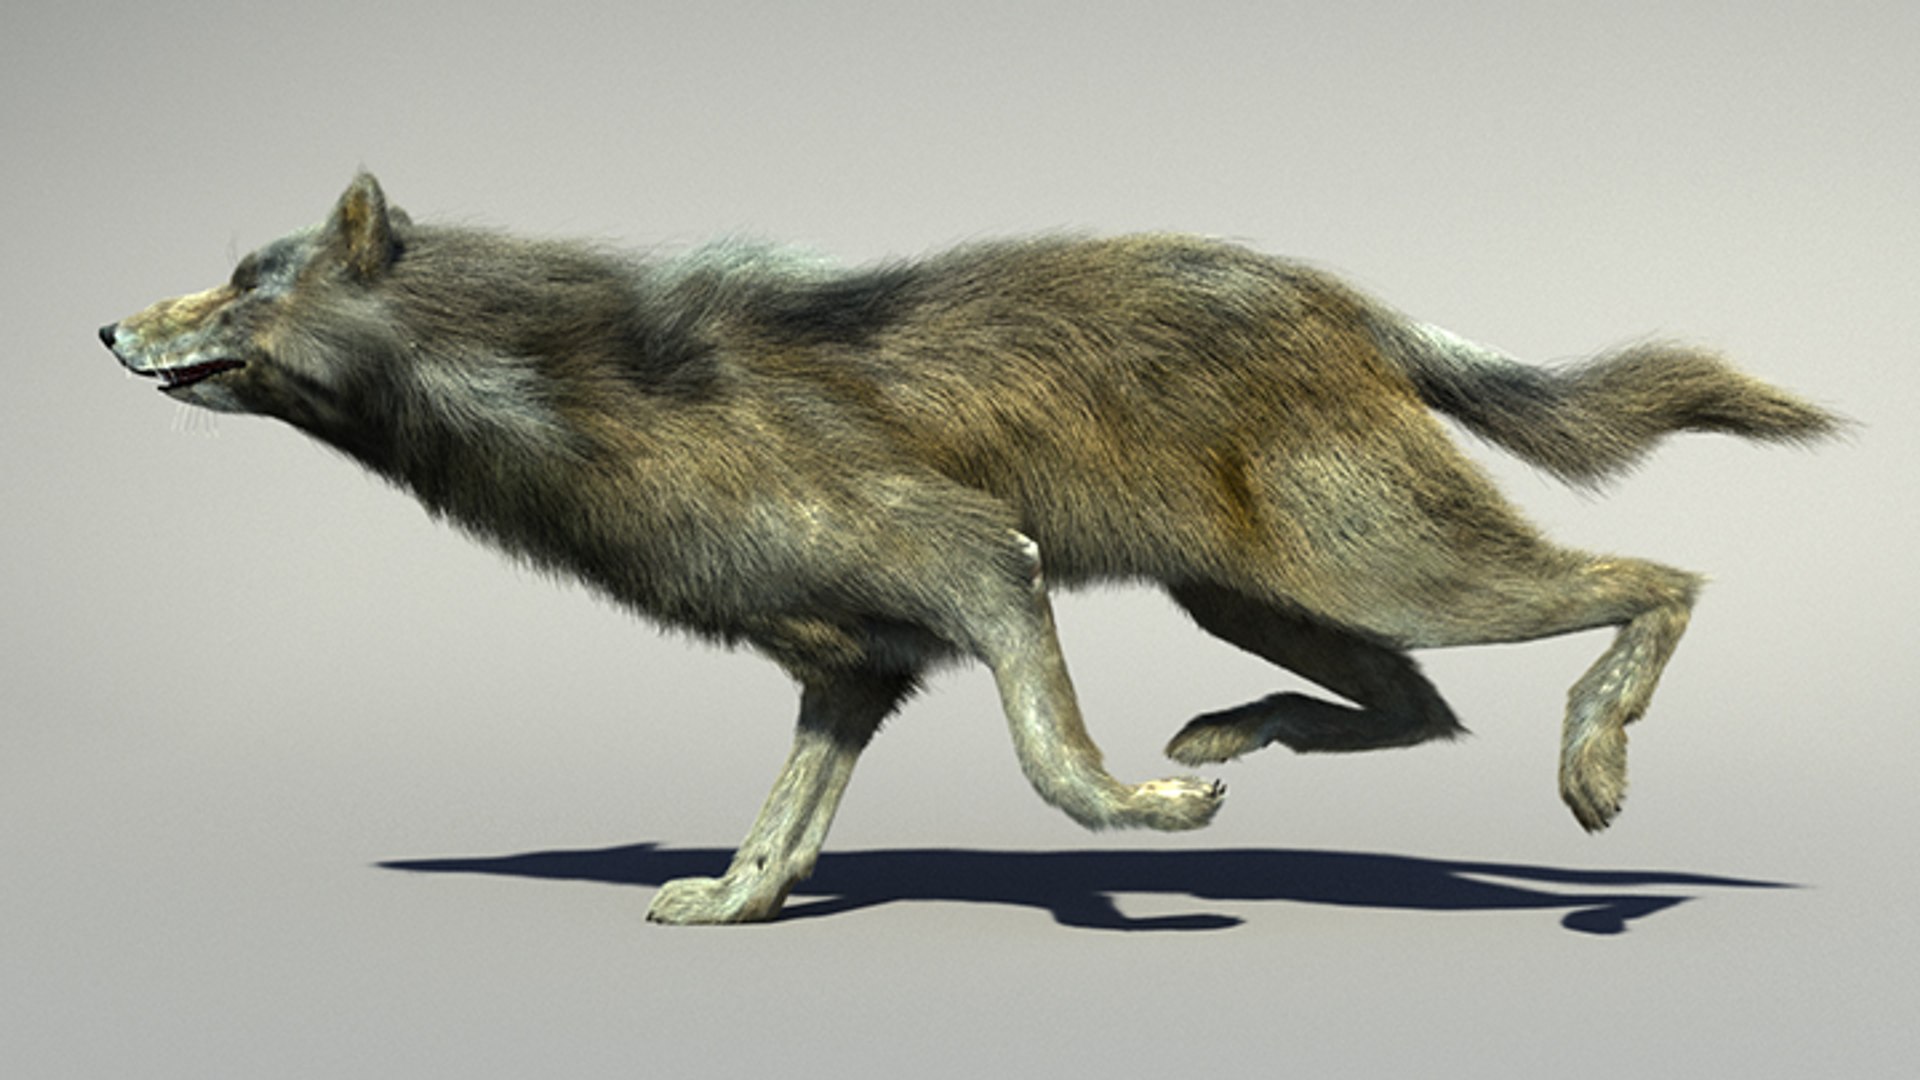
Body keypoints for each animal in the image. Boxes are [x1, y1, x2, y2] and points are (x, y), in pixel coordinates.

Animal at [101, 173, 1839, 923]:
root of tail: (1346, 301)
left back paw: (1595, 773)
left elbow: (1052, 763)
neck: (577, 382)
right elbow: (786, 813)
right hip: (1258, 592)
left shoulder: (976, 567)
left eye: (243, 286)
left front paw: (1143, 824)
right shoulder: (850, 665)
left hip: (1371, 568)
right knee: (1421, 704)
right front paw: (732, 902)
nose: (106, 327)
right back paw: (1233, 732)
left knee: (1653, 584)